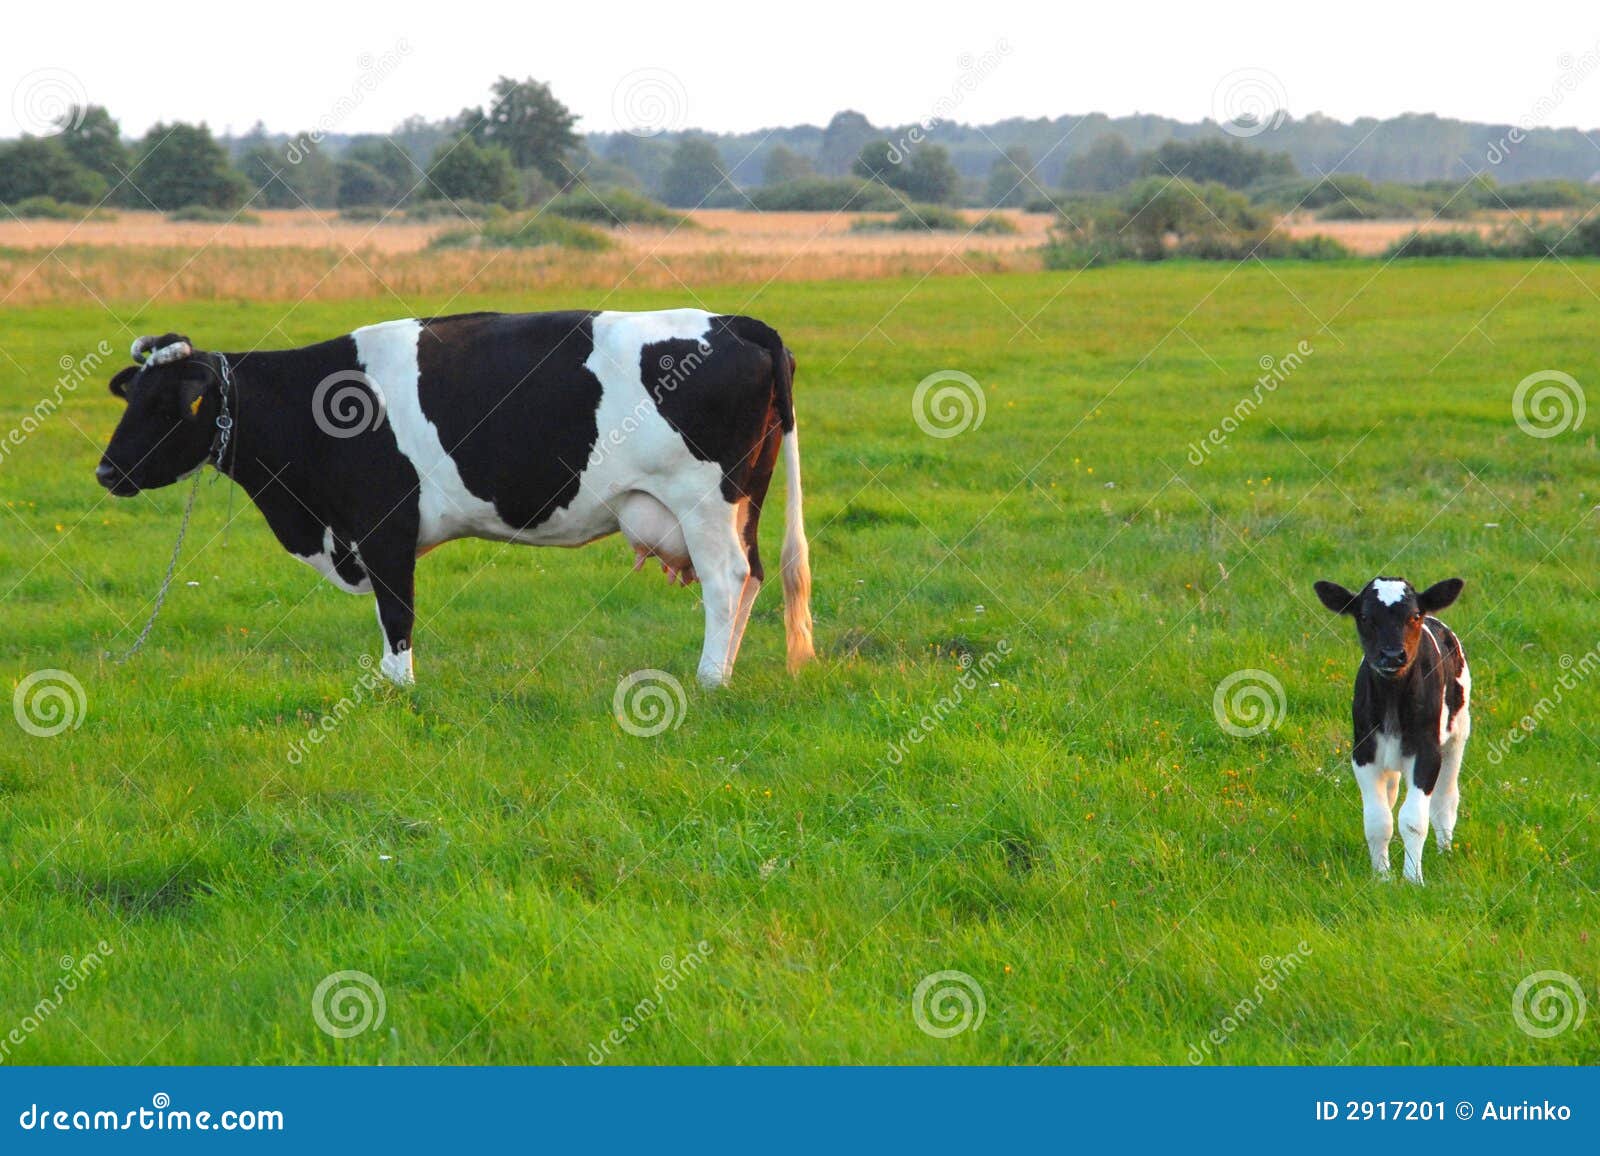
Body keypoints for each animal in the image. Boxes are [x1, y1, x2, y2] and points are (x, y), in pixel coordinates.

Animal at [95, 309, 815, 690]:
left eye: (167, 406)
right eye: (132, 398)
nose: (106, 471)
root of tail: (737, 323)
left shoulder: (383, 527)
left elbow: (397, 613)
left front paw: (396, 690)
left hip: (704, 499)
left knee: (725, 579)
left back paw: (709, 679)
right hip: (744, 499)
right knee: (752, 577)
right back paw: (726, 669)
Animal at [1314, 576, 1470, 884]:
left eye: (1413, 616)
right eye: (1364, 616)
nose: (1392, 655)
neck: (1392, 696)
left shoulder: (1426, 752)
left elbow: (1413, 820)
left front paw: (1413, 879)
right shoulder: (1363, 753)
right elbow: (1378, 819)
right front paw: (1381, 876)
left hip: (1458, 734)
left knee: (1446, 798)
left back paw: (1444, 852)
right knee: (1391, 796)